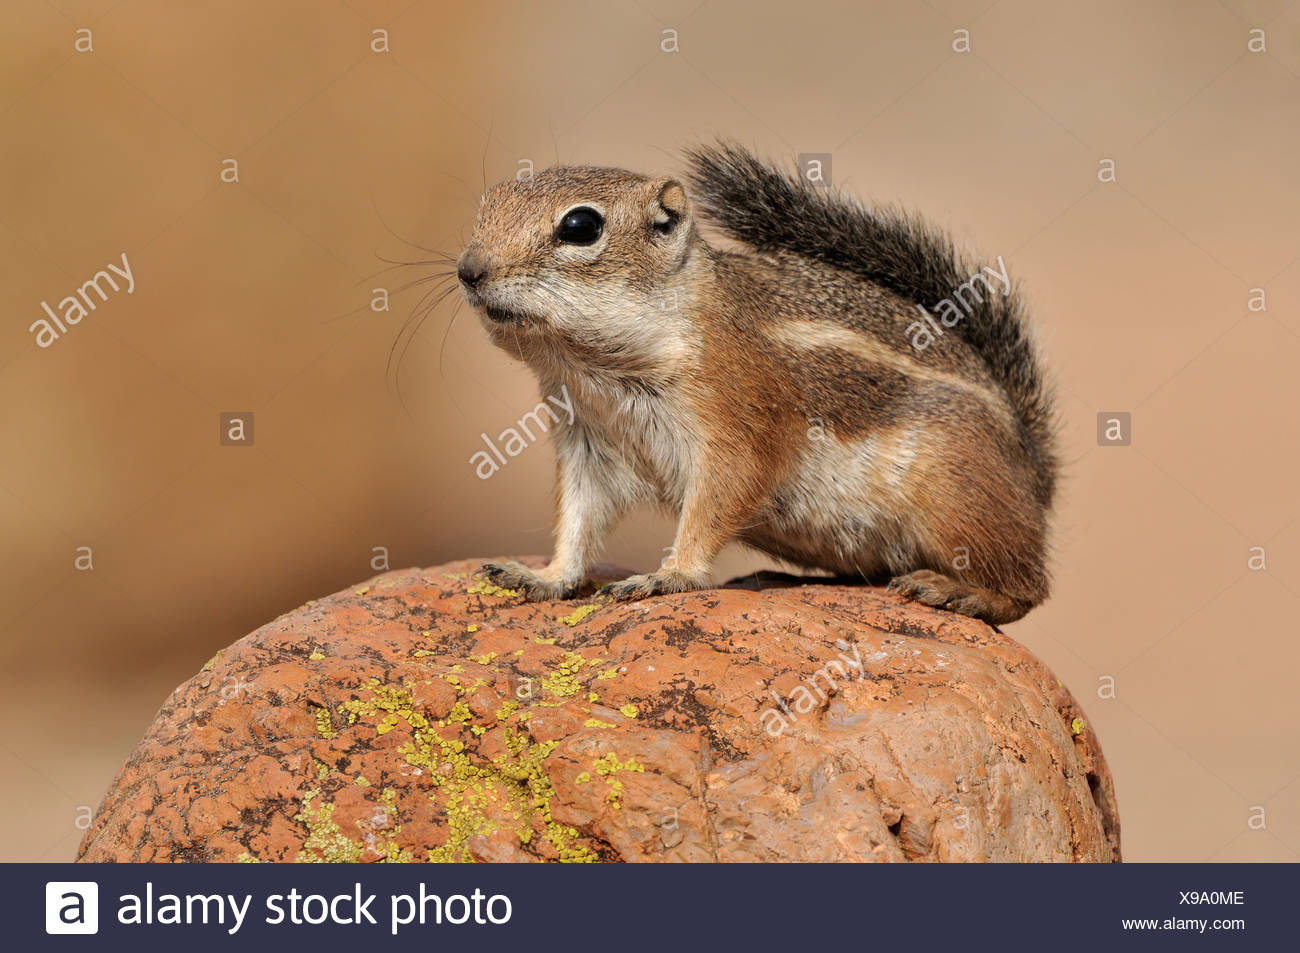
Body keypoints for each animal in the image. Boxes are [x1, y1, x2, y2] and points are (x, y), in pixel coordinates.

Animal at [456, 142, 1056, 625]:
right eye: (486, 205)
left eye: (581, 226)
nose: (468, 270)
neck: (594, 369)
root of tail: (1033, 468)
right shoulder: (586, 440)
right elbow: (578, 517)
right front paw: (545, 577)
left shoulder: (734, 416)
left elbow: (719, 499)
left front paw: (669, 576)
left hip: (955, 498)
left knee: (1029, 588)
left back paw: (961, 592)